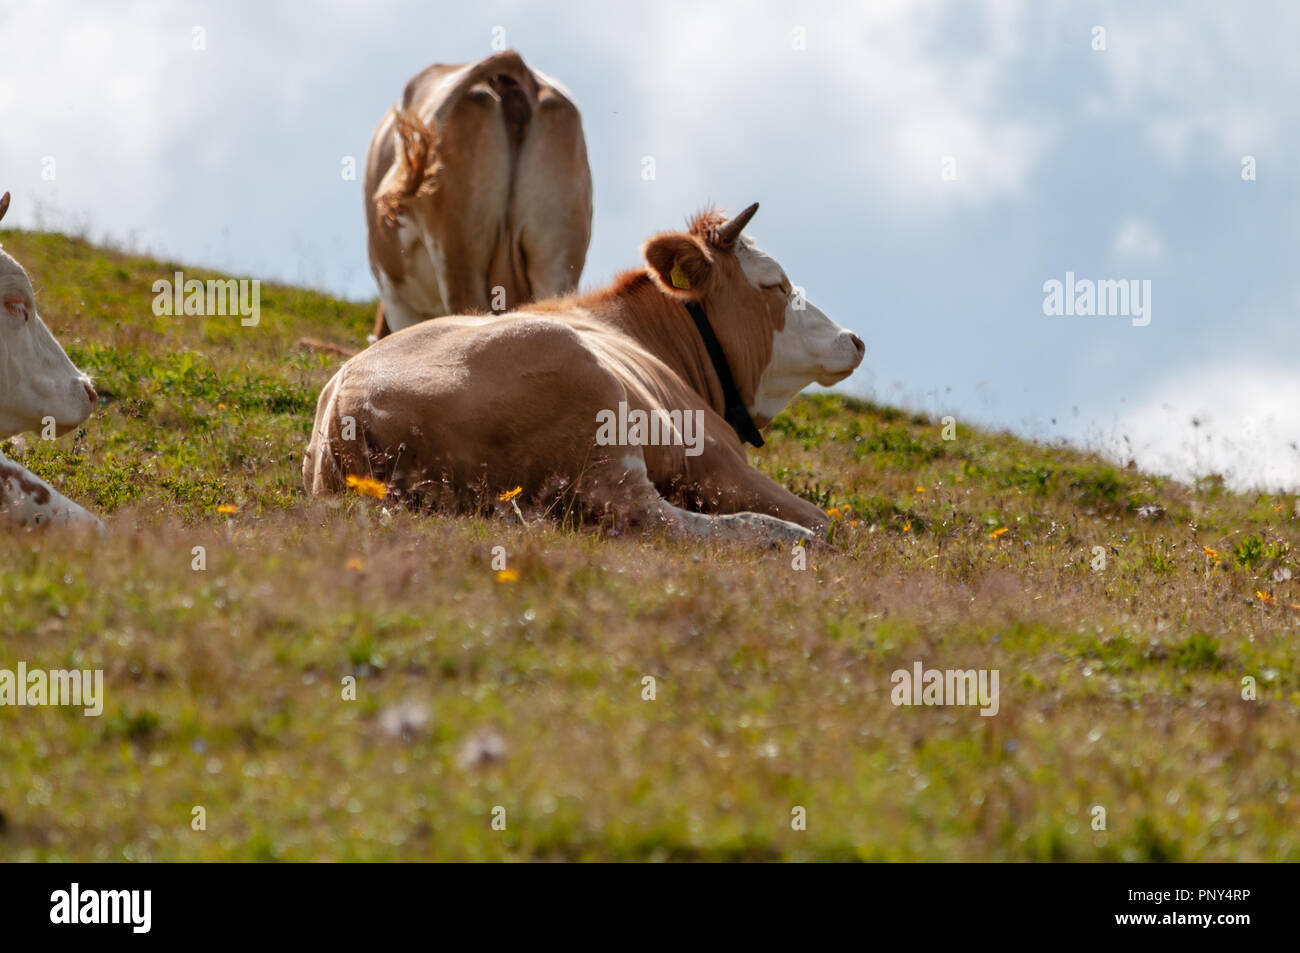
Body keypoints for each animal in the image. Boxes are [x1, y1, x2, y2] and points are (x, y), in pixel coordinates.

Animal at [304, 203, 865, 544]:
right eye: (775, 285)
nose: (854, 340)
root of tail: (346, 402)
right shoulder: (717, 460)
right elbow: (830, 519)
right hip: (599, 434)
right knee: (650, 517)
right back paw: (780, 537)